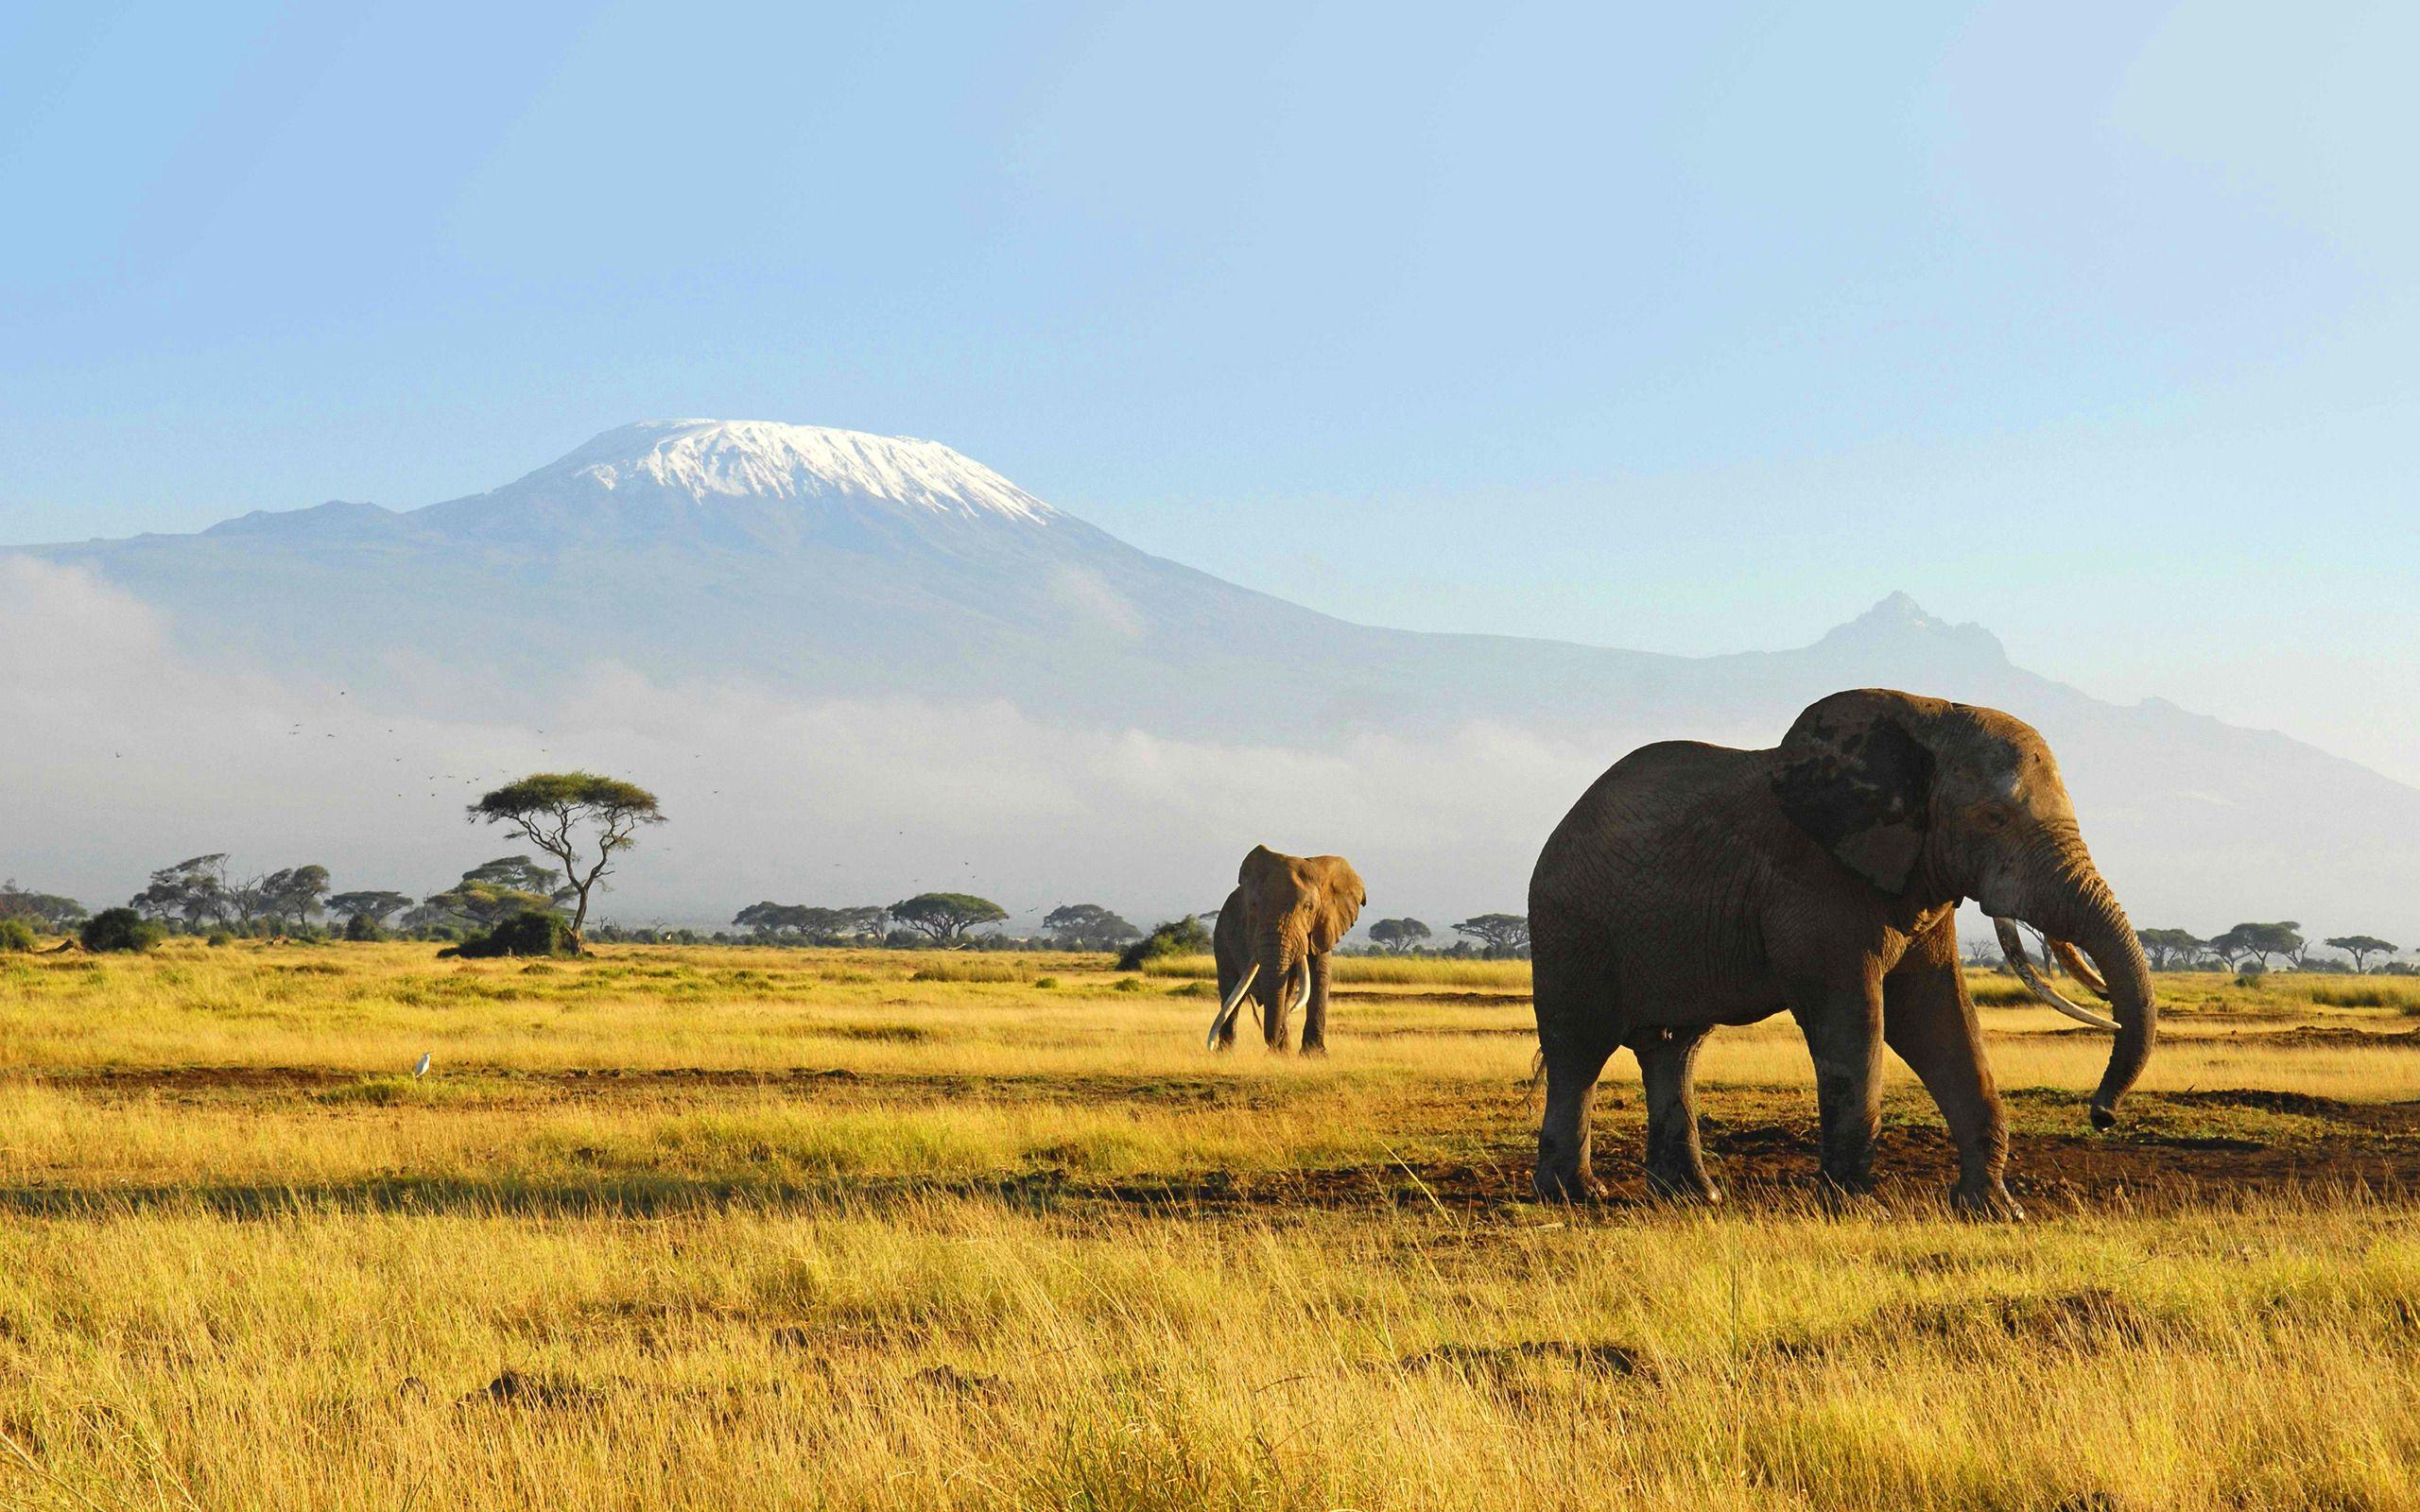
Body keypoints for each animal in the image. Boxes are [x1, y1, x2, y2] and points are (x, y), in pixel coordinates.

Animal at [1205, 845, 1368, 1054]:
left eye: (1308, 907)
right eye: (1254, 906)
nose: (1272, 1045)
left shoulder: (1324, 926)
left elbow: (1320, 976)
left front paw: (1313, 1054)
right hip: (1221, 938)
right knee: (1231, 993)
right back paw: (1226, 1053)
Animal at [1527, 688, 2156, 1216]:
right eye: (1993, 819)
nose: (2101, 1116)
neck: (1927, 720)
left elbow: (1937, 1018)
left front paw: (1995, 1211)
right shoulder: (1815, 882)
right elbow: (1853, 1021)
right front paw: (1853, 1208)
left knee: (1674, 1048)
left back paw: (1693, 1197)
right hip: (1570, 927)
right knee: (1579, 1051)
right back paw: (1575, 1196)